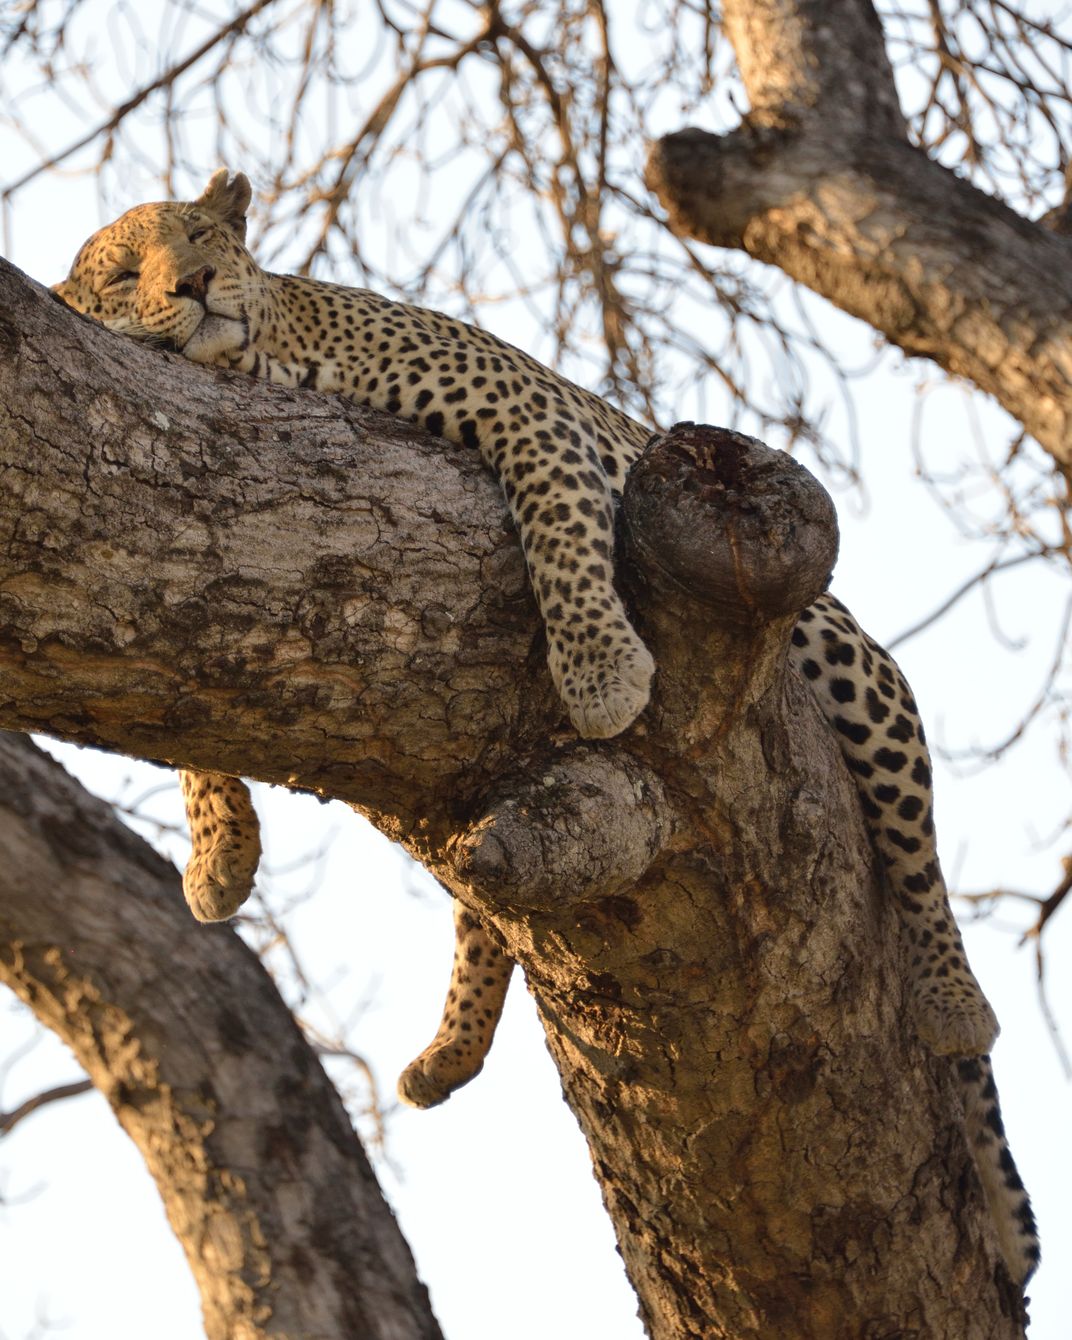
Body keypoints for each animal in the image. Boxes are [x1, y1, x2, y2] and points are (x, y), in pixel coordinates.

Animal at [53, 169, 1038, 1285]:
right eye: (125, 275)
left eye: (202, 238)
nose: (197, 283)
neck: (268, 351)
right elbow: (182, 682)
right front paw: (219, 848)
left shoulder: (525, 407)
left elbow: (558, 527)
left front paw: (602, 674)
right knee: (479, 898)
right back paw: (448, 1051)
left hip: (843, 655)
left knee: (913, 836)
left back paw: (956, 1002)